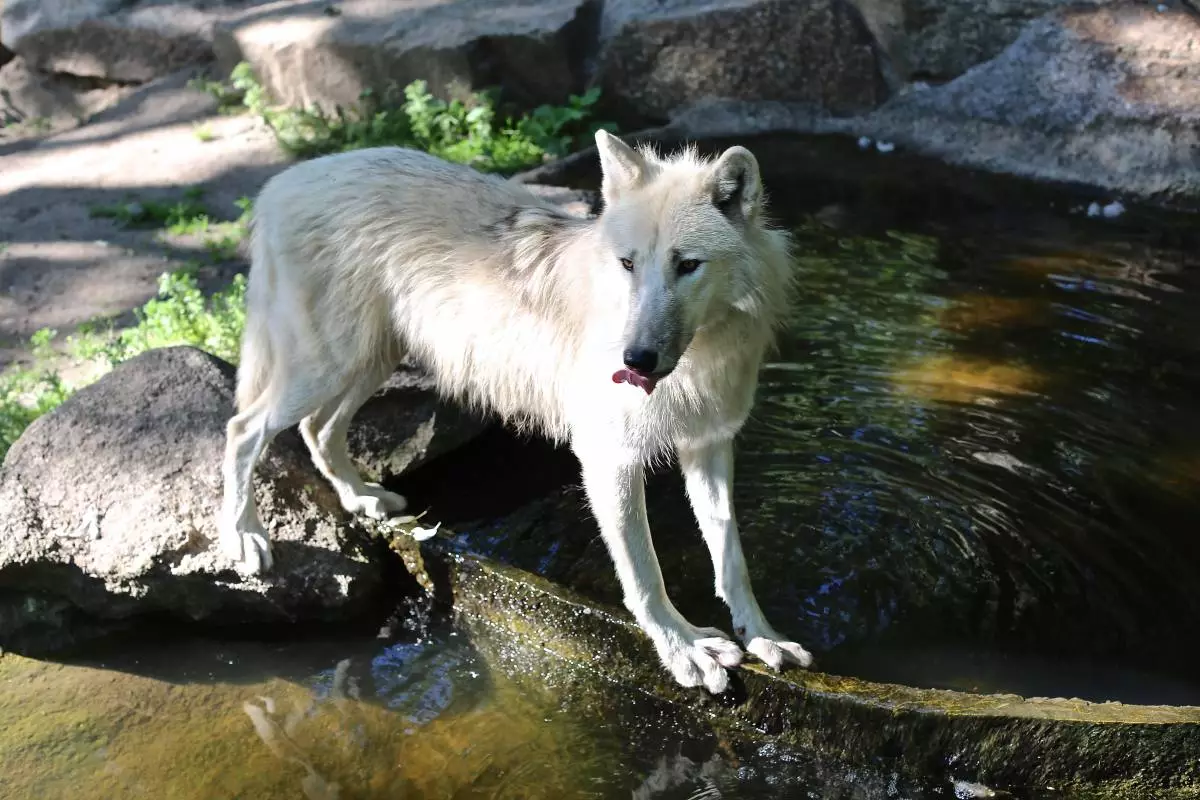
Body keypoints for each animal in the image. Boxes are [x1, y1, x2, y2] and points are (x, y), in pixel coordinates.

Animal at [220, 131, 811, 695]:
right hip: (328, 365)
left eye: (687, 265)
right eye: (628, 264)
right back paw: (245, 537)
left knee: (317, 428)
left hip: (370, 361)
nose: (634, 359)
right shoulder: (610, 458)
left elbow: (731, 557)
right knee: (243, 428)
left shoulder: (709, 445)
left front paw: (763, 637)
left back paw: (361, 499)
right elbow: (645, 575)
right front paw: (685, 649)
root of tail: (285, 181)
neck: (699, 362)